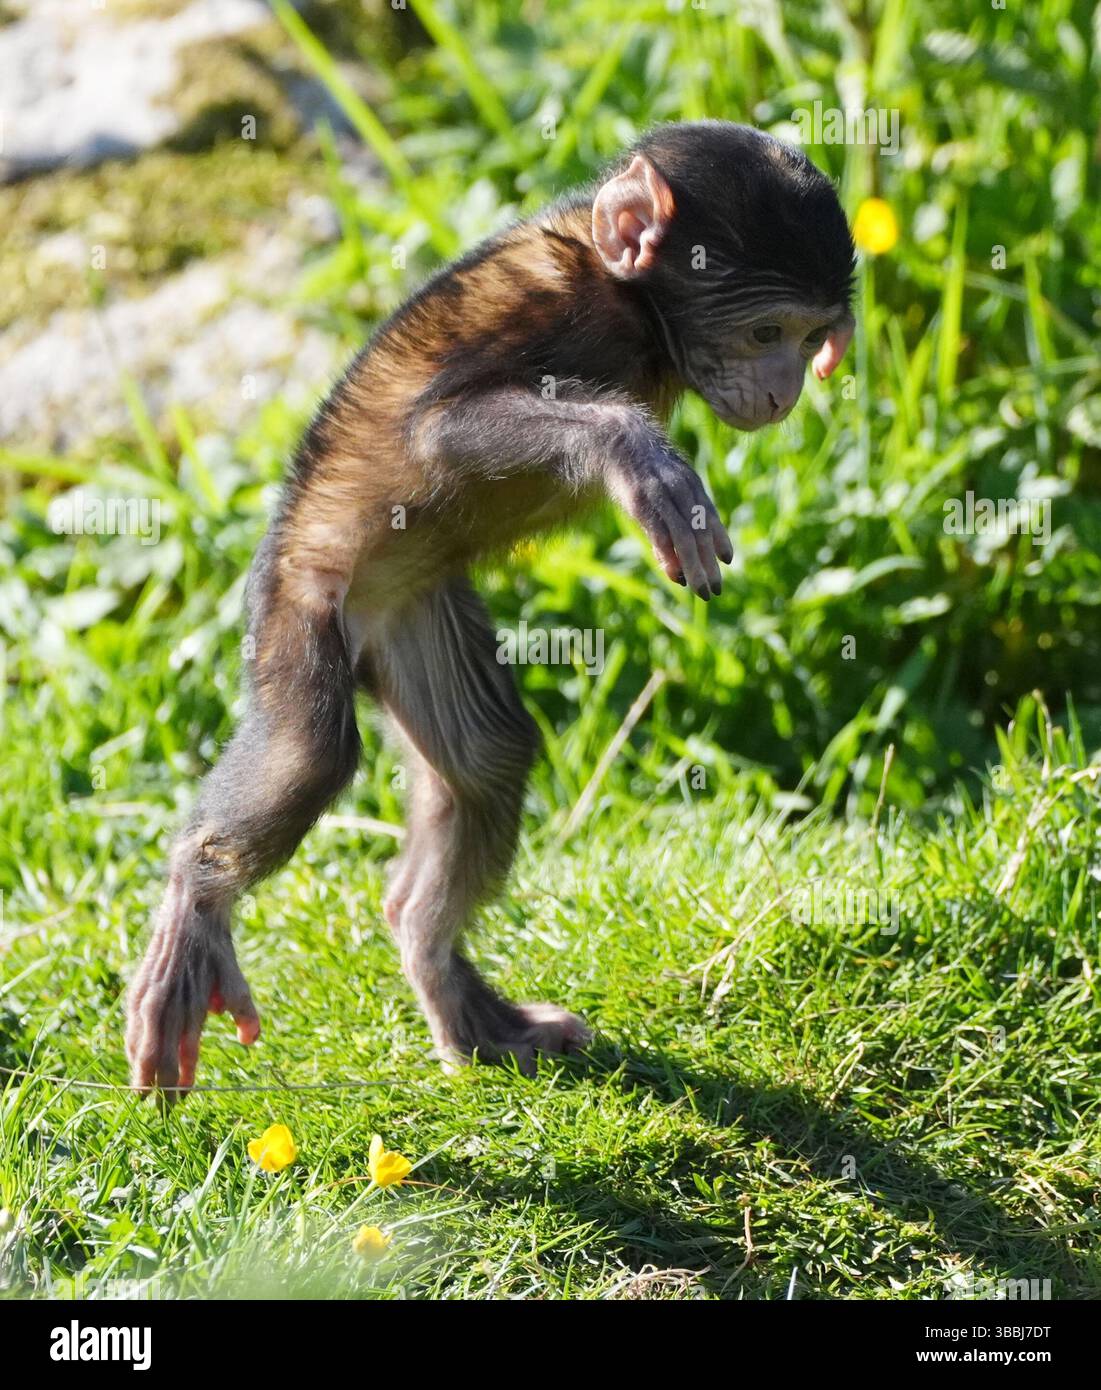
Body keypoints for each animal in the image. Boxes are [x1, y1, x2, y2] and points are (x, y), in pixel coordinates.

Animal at [126, 120, 855, 1093]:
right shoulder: (555, 308)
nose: (785, 389)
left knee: (484, 758)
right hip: (297, 598)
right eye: (764, 330)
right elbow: (437, 431)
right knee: (311, 752)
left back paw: (433, 960)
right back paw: (198, 891)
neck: (636, 308)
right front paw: (633, 452)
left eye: (807, 335)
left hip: (409, 612)